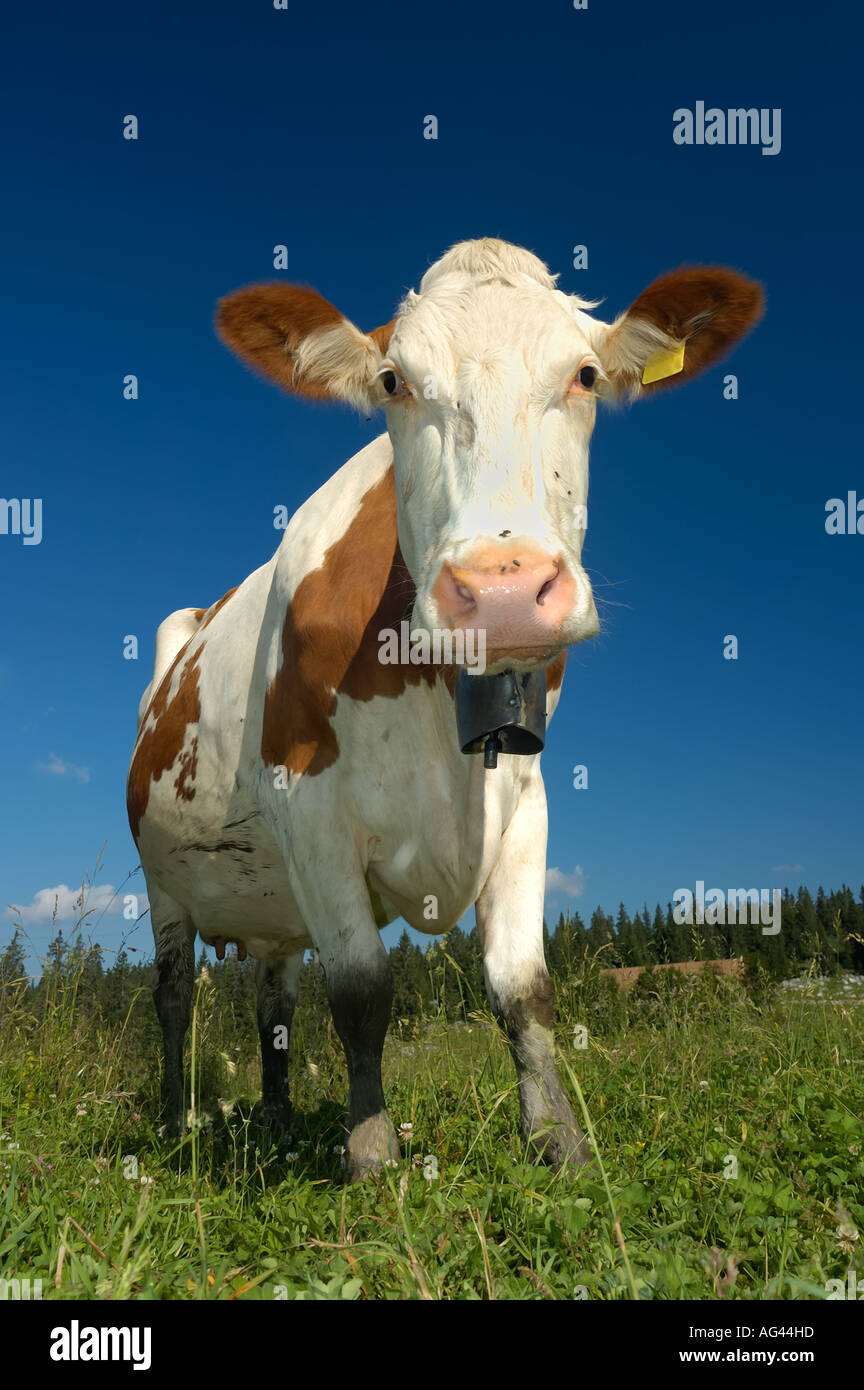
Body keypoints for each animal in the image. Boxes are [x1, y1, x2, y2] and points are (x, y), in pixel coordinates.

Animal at [127, 238, 762, 1180]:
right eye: (395, 381)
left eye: (584, 375)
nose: (501, 593)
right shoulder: (308, 812)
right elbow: (361, 992)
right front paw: (370, 1153)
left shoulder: (525, 802)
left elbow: (523, 991)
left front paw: (558, 1141)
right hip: (163, 886)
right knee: (173, 998)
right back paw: (177, 1121)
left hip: (273, 909)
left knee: (273, 1000)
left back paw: (276, 1117)